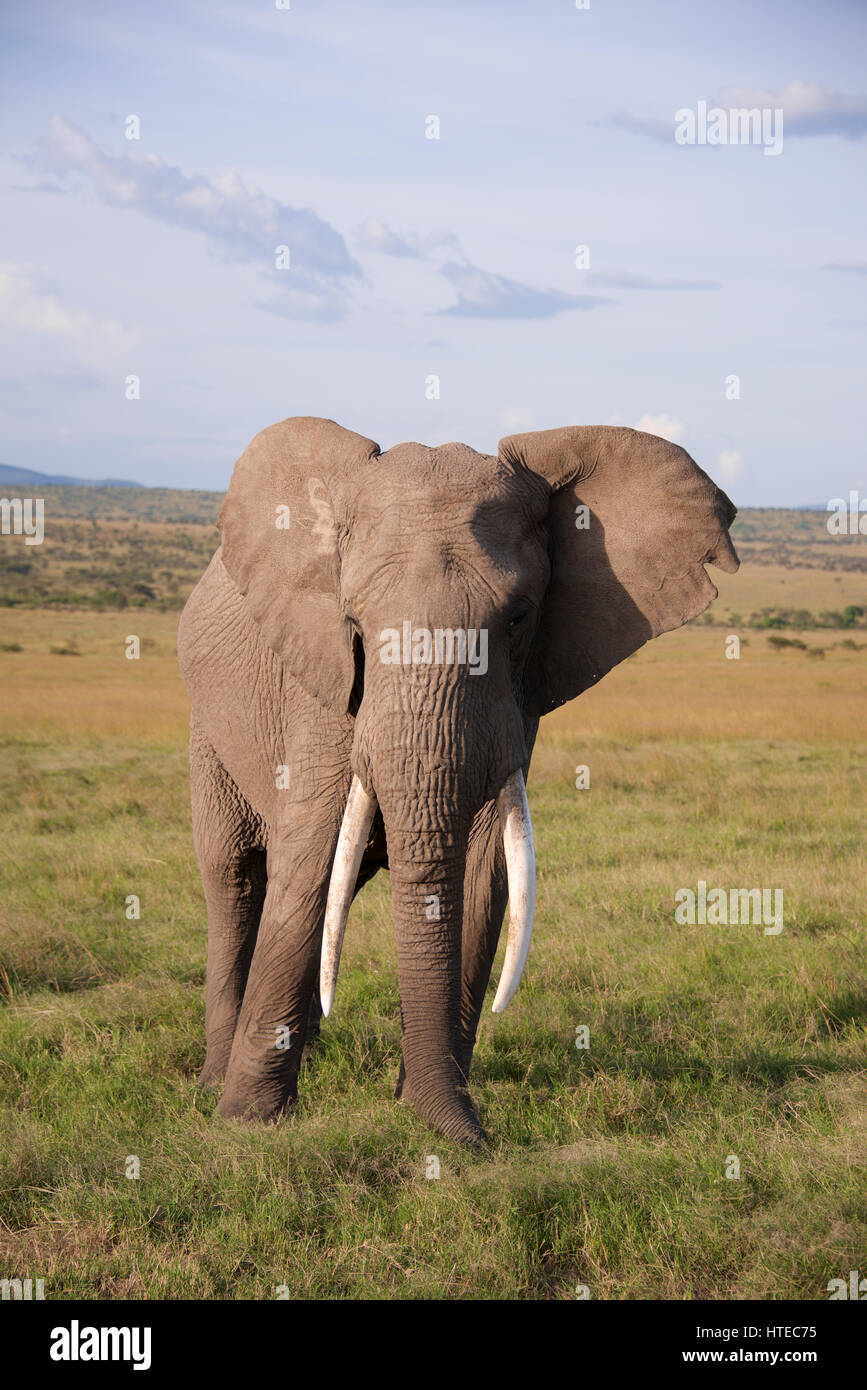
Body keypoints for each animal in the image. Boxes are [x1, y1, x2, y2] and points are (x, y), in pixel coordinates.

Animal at [178, 416, 738, 1146]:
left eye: (519, 618)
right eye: (354, 624)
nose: (468, 1134)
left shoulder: (517, 704)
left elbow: (482, 873)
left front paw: (441, 1117)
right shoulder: (323, 685)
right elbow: (309, 861)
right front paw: (248, 1122)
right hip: (206, 730)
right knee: (236, 877)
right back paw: (215, 1080)